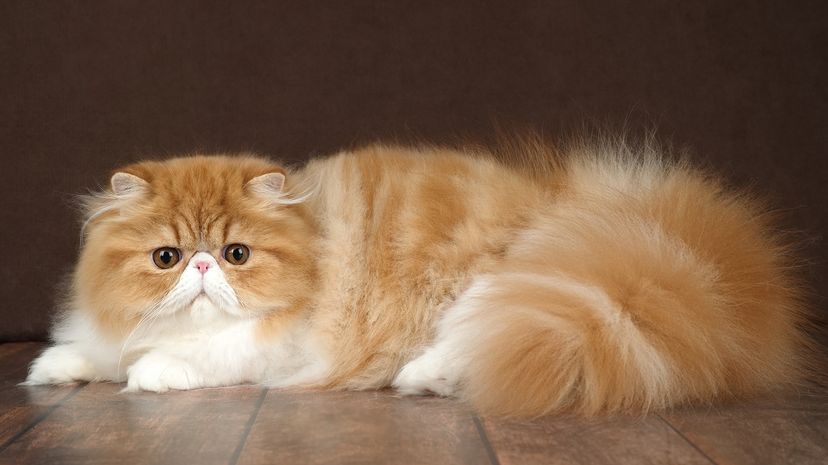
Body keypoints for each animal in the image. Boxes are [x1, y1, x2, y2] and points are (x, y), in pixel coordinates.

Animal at [24, 139, 808, 416]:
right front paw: (55, 367)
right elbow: (95, 348)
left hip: (499, 298)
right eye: (166, 258)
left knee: (481, 352)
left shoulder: (270, 347)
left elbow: (191, 357)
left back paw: (421, 377)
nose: (203, 262)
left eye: (237, 254)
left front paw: (150, 373)